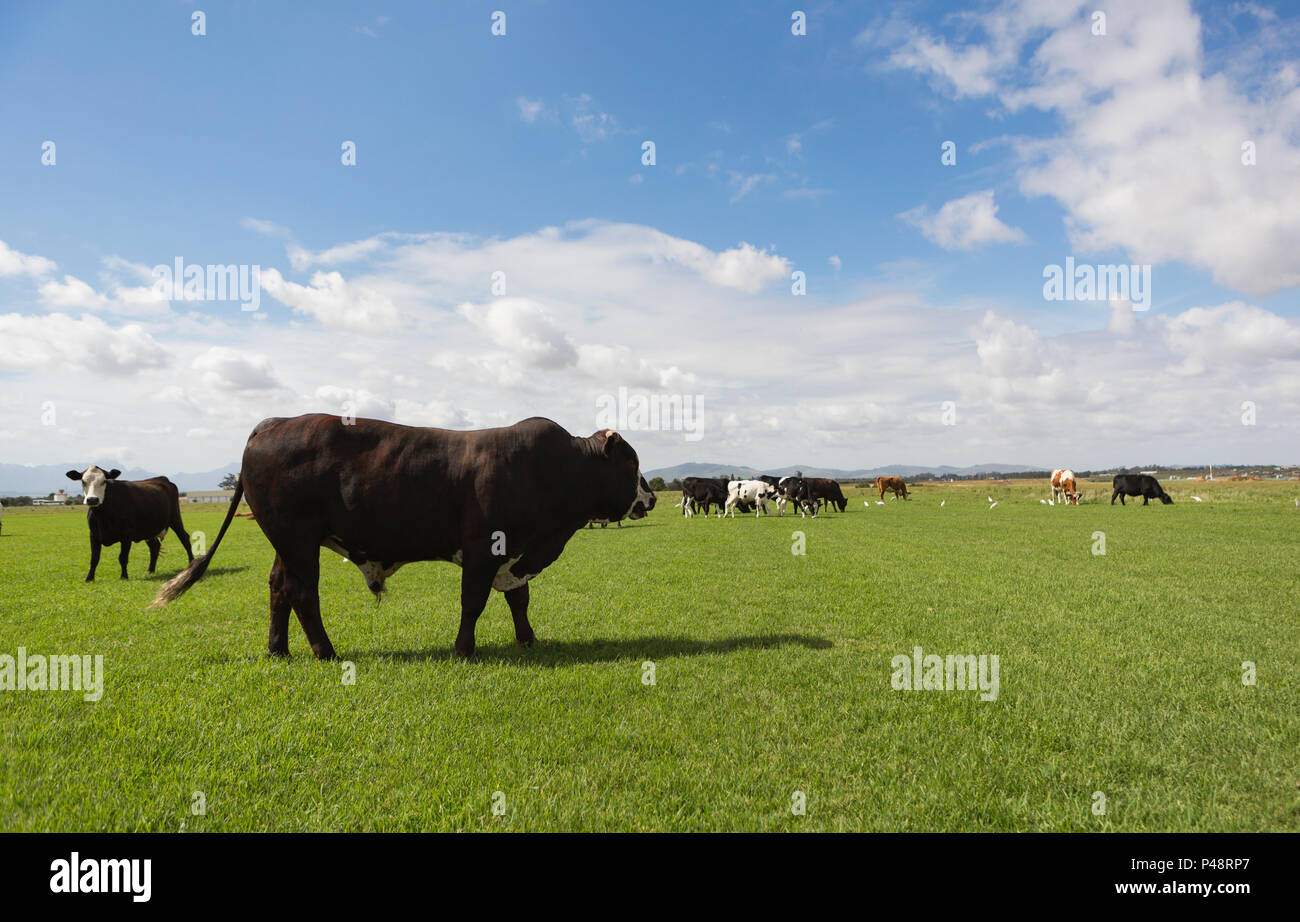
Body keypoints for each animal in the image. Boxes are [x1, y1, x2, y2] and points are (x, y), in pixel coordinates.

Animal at [65, 465, 193, 581]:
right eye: (83, 481)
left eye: (104, 481)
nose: (92, 499)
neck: (102, 516)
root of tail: (163, 479)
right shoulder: (94, 535)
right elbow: (94, 558)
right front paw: (89, 578)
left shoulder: (126, 535)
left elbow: (122, 557)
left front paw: (124, 576)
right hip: (148, 529)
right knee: (155, 546)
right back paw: (150, 570)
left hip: (175, 519)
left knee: (185, 539)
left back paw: (191, 564)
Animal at [150, 416, 654, 659]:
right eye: (630, 463)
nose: (648, 498)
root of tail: (273, 423)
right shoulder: (483, 550)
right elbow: (474, 602)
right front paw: (463, 649)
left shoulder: (514, 554)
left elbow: (519, 599)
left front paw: (528, 640)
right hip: (298, 539)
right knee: (302, 593)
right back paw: (324, 651)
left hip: (288, 543)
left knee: (278, 589)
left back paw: (279, 649)